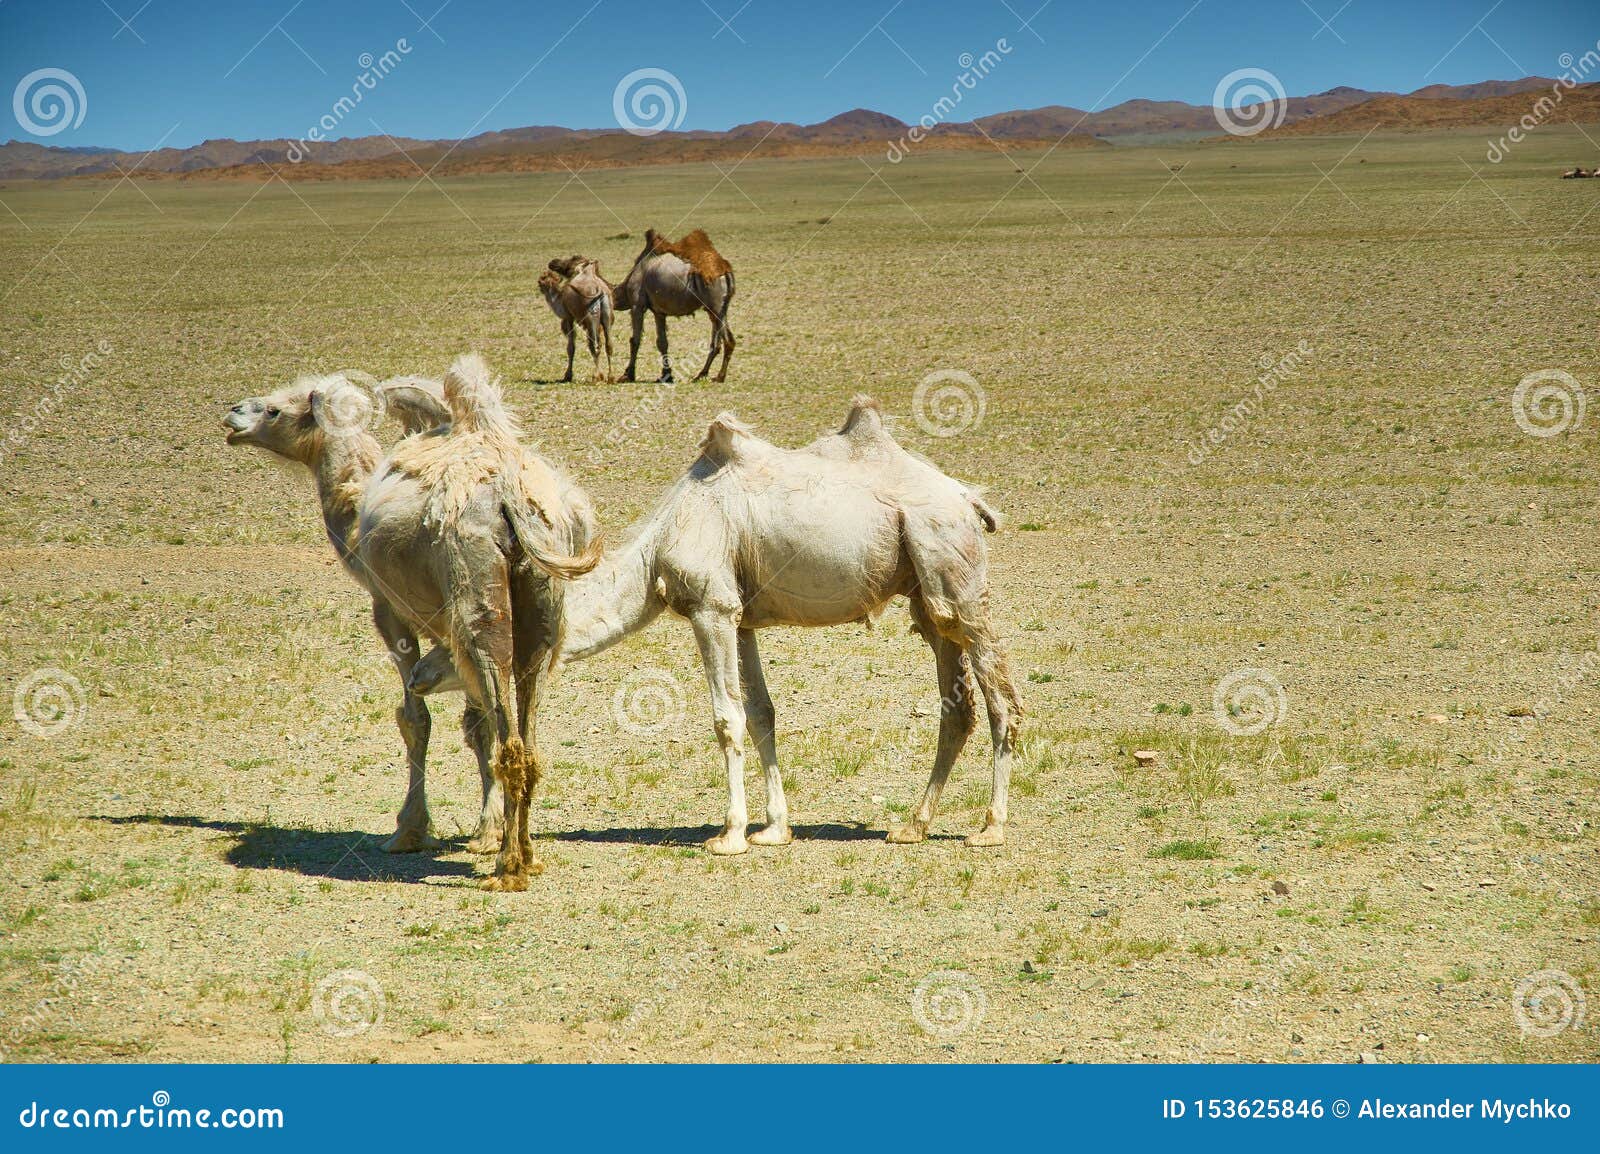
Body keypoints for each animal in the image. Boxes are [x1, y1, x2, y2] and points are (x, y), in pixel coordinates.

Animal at [223, 361, 599, 887]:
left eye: (276, 409)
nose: (234, 414)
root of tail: (510, 500)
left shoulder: (389, 611)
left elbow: (415, 718)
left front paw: (409, 831)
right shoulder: (449, 634)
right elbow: (475, 724)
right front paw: (484, 832)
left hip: (476, 595)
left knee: (508, 737)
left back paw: (509, 868)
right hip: (540, 608)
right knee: (526, 732)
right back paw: (525, 853)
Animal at [614, 228, 736, 385]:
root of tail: (726, 270)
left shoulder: (637, 305)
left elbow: (635, 340)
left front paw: (627, 375)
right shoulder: (658, 312)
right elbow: (662, 342)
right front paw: (666, 375)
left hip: (715, 306)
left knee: (728, 340)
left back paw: (720, 376)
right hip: (718, 308)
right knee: (716, 343)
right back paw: (701, 374)